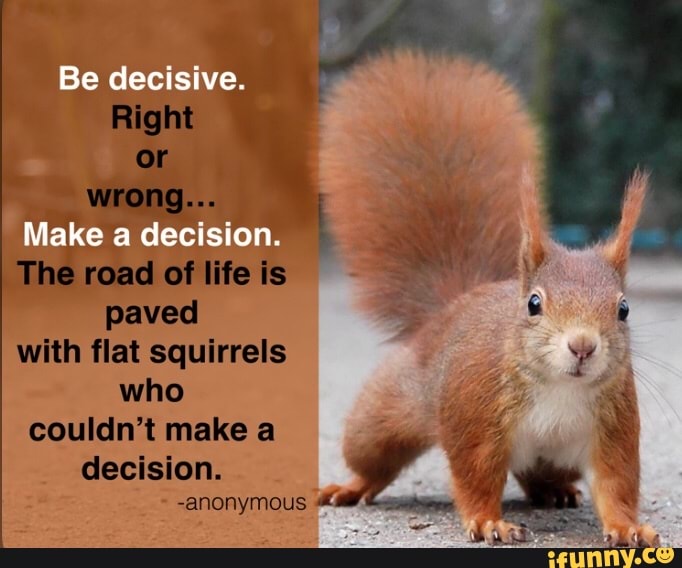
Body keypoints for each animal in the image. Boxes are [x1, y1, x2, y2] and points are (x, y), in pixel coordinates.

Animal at [318, 50, 659, 548]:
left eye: (624, 309)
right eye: (534, 303)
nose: (582, 346)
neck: (560, 387)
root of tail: (452, 306)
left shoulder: (614, 427)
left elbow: (617, 484)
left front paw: (628, 527)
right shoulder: (476, 417)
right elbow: (476, 475)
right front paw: (487, 521)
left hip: (556, 458)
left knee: (539, 474)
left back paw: (555, 491)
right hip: (382, 415)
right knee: (373, 457)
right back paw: (351, 486)